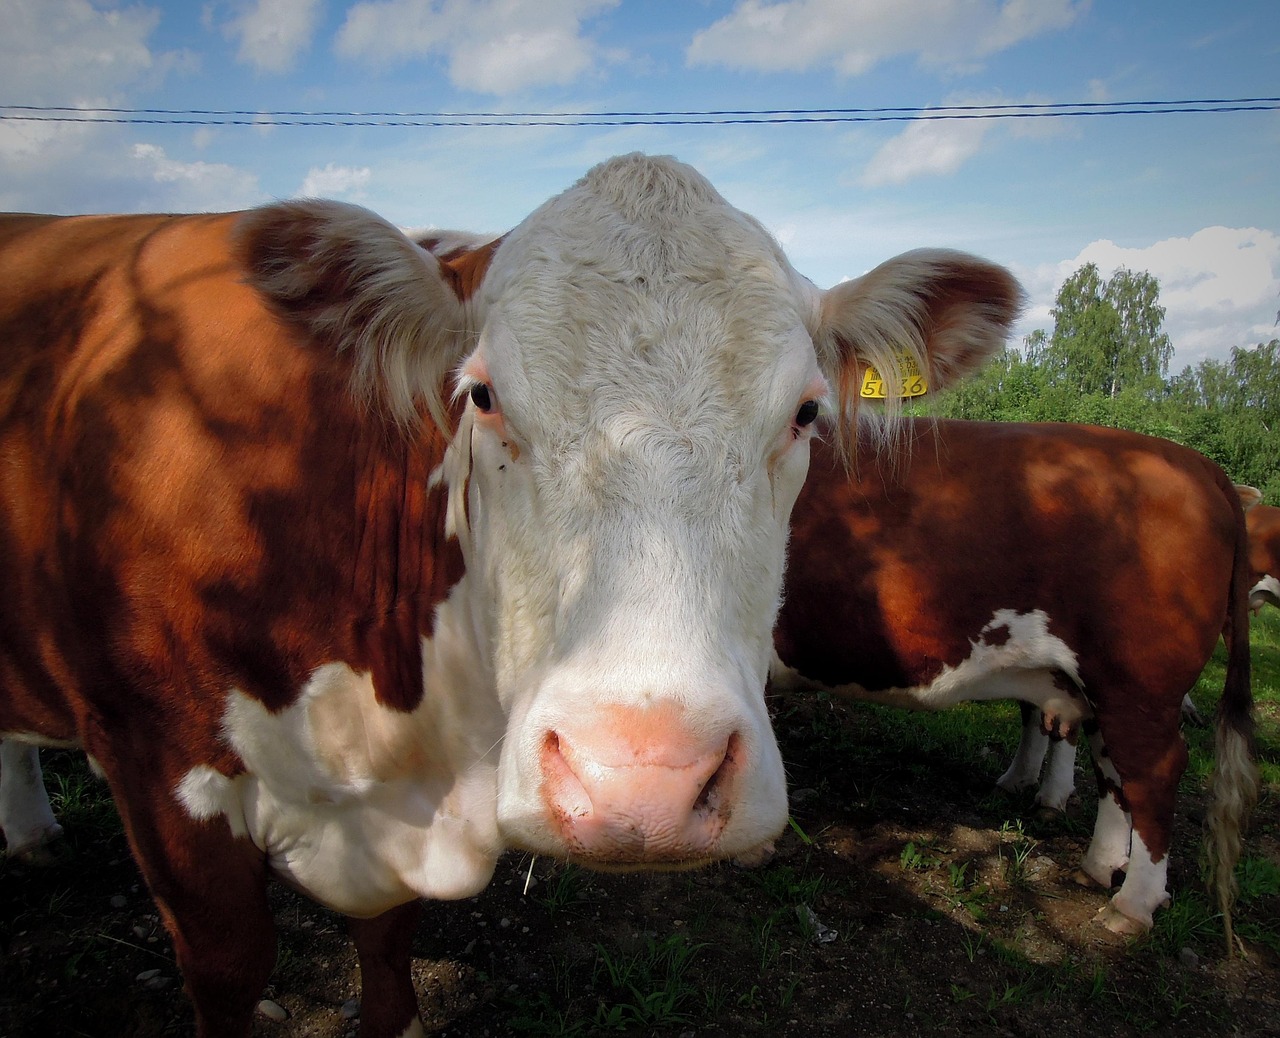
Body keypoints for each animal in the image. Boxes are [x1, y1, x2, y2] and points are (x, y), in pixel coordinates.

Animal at [0, 153, 1021, 1037]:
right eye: (482, 397)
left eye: (807, 412)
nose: (642, 780)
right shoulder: (157, 770)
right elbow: (230, 967)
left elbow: (387, 955)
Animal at [771, 418, 1258, 949]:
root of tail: (1197, 463)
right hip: (1105, 690)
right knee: (1113, 769)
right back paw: (1099, 865)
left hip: (1139, 686)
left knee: (1155, 773)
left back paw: (1133, 904)